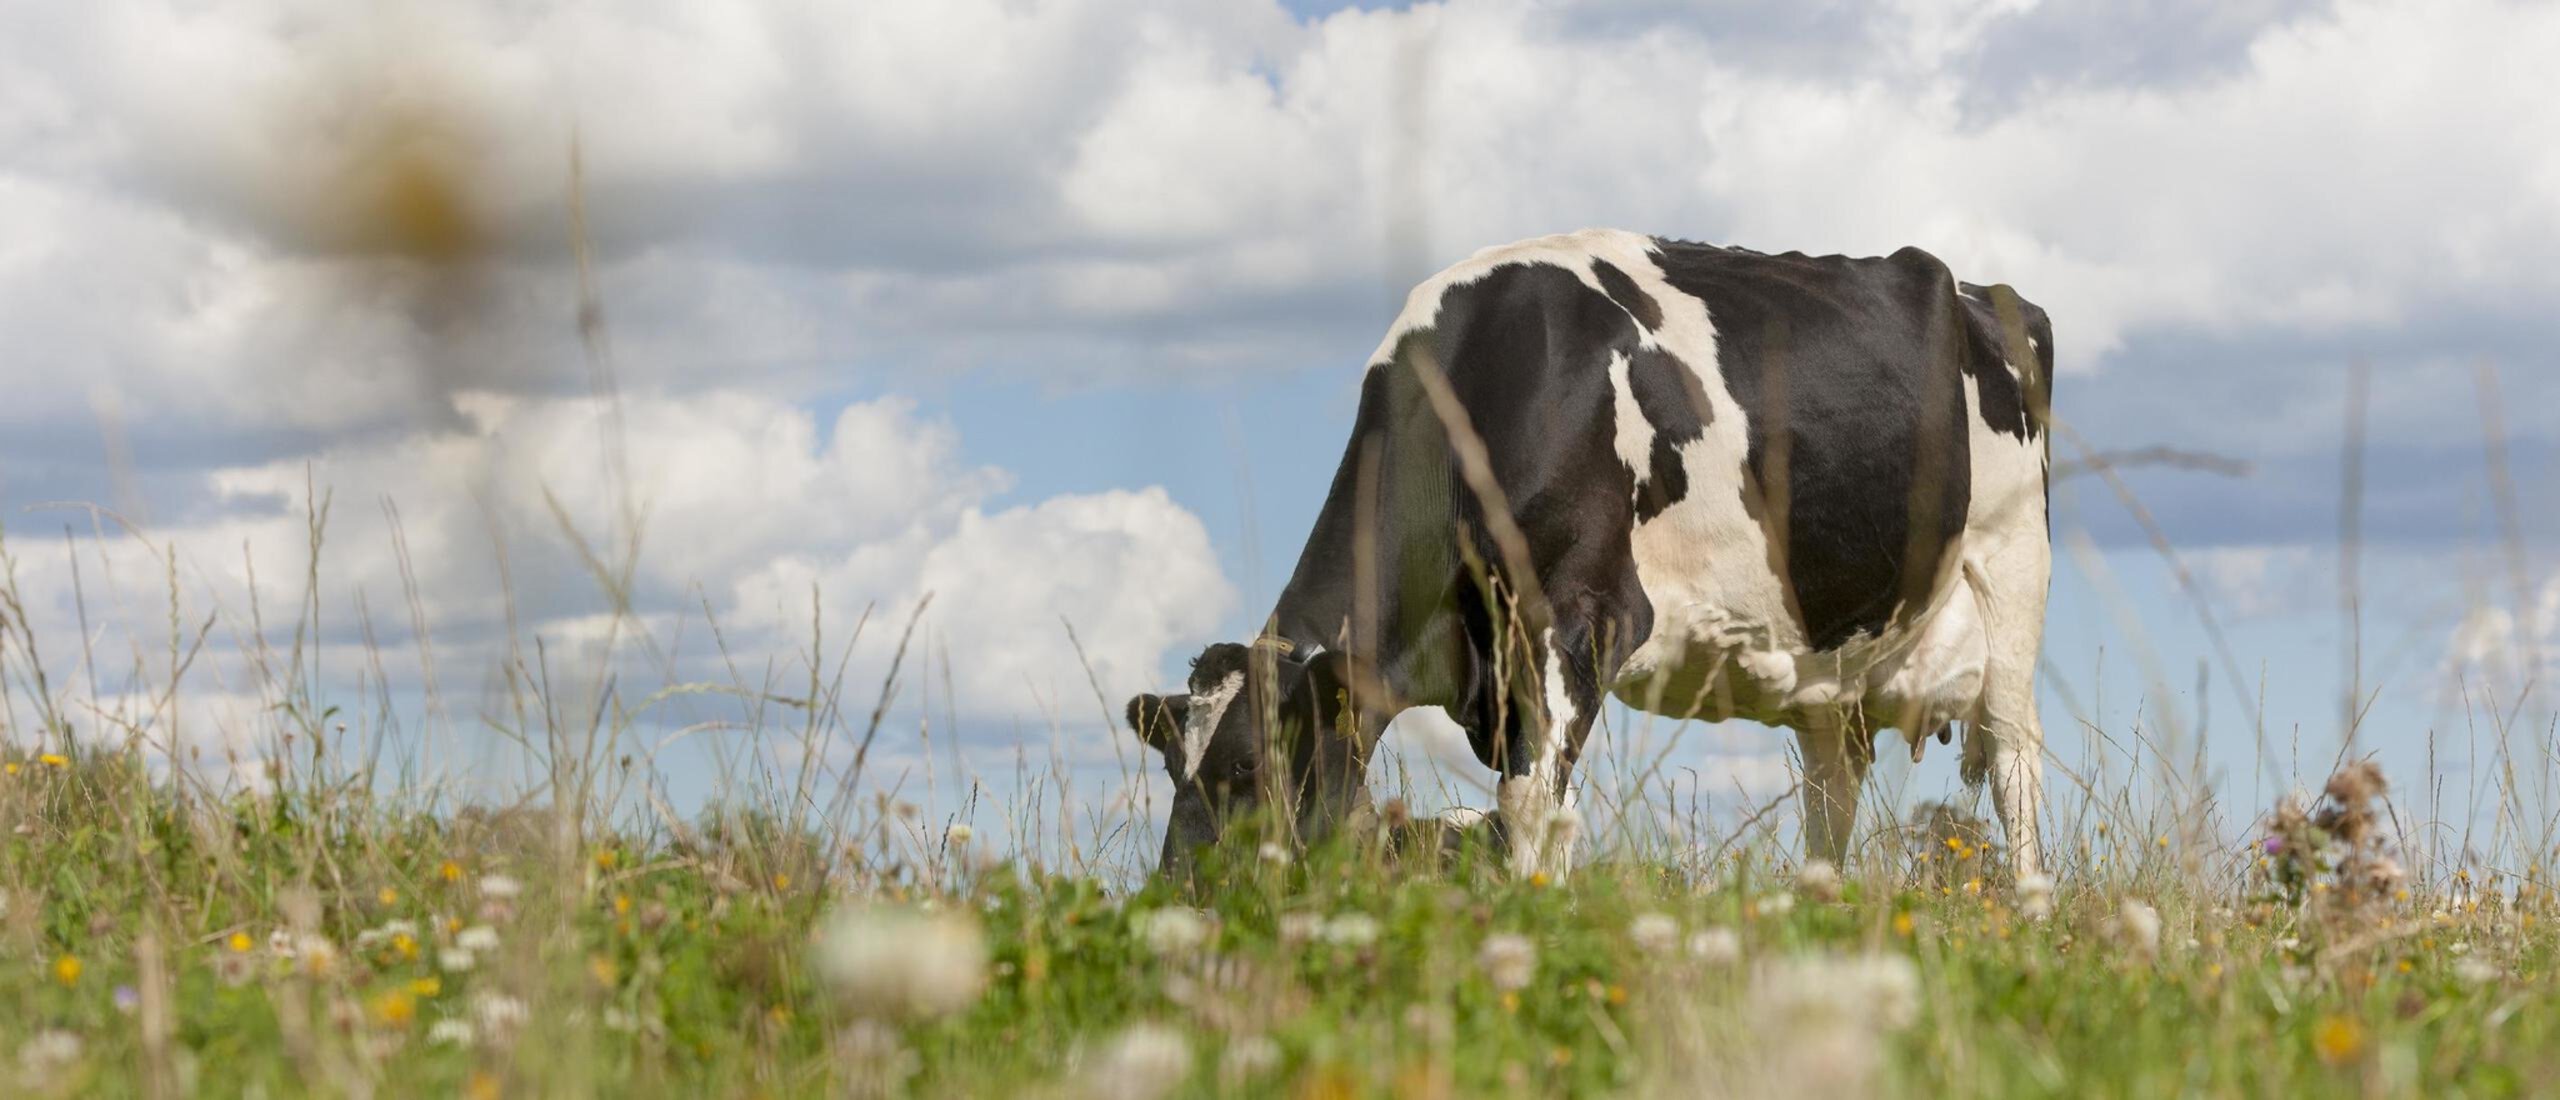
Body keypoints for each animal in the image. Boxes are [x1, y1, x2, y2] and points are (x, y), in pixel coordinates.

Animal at [1126, 228, 2053, 882]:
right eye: (1171, 764)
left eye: (1248, 765)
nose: (1177, 893)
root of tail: (1986, 292)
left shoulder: (1572, 617)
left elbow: (1529, 807)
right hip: (1834, 669)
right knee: (1833, 793)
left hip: (2011, 574)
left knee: (2015, 760)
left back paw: (2031, 913)